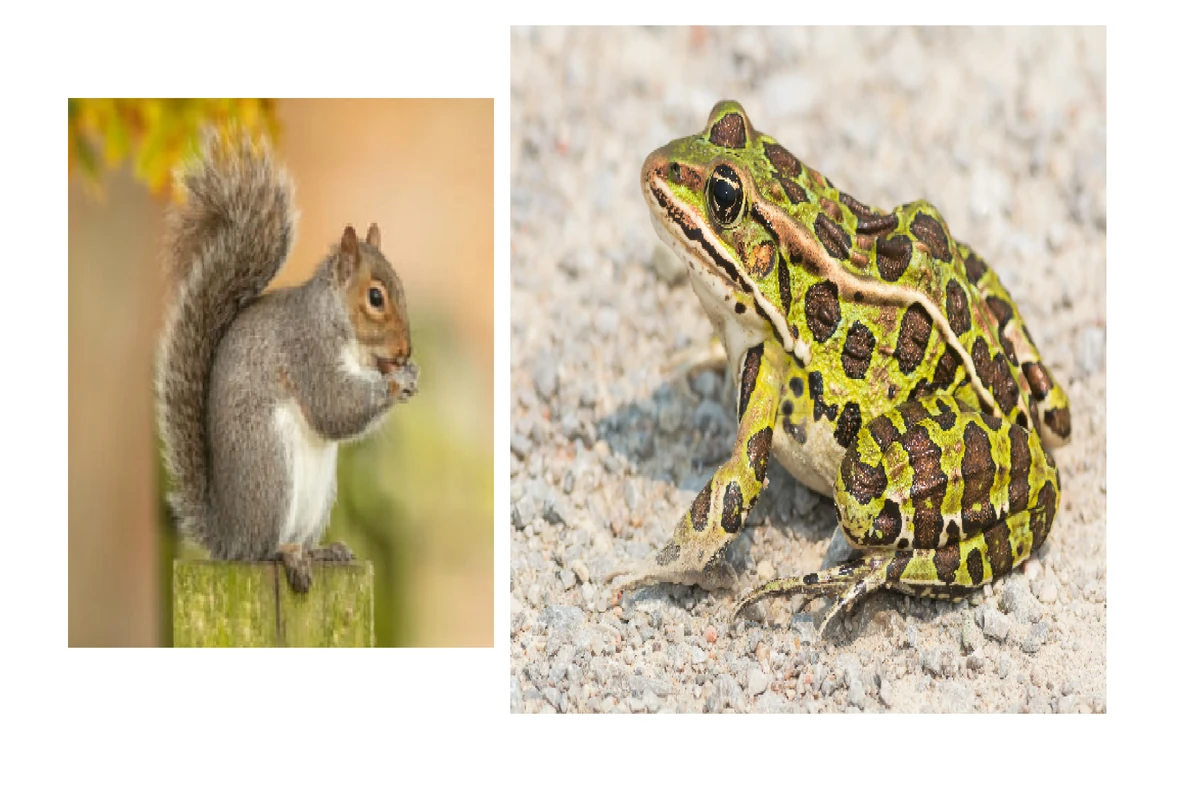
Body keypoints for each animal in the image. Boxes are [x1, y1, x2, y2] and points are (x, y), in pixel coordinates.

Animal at [155, 131, 419, 594]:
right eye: (375, 297)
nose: (405, 351)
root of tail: (228, 537)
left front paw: (408, 375)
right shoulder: (306, 350)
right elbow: (334, 406)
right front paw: (394, 384)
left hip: (319, 490)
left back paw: (323, 551)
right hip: (270, 465)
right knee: (265, 548)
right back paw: (287, 554)